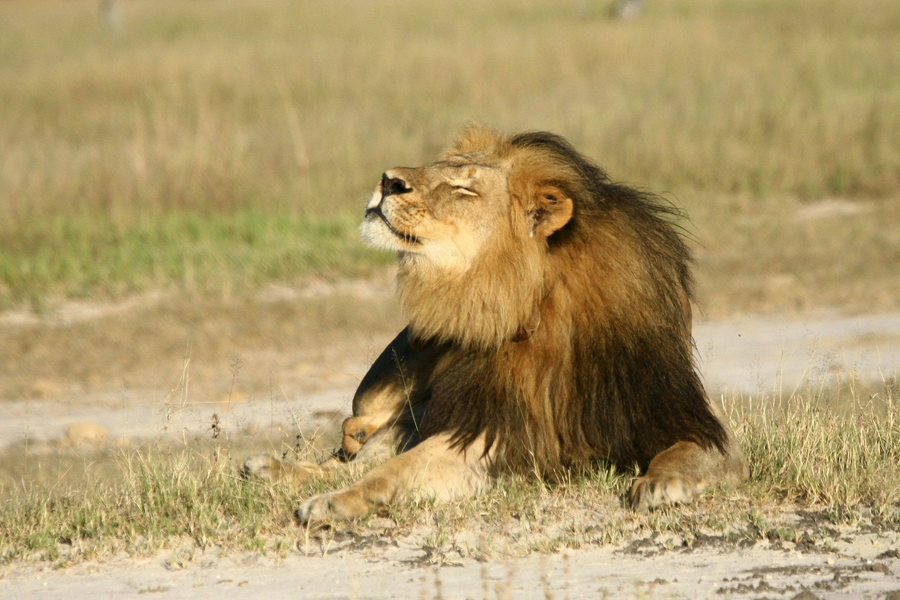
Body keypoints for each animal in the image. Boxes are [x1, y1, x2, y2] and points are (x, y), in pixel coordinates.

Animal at [244, 126, 748, 522]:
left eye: (464, 189)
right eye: (439, 166)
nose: (388, 181)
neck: (530, 301)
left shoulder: (682, 417)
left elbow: (692, 451)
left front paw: (661, 484)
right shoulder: (487, 427)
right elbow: (393, 470)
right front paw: (332, 502)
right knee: (355, 451)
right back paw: (271, 468)